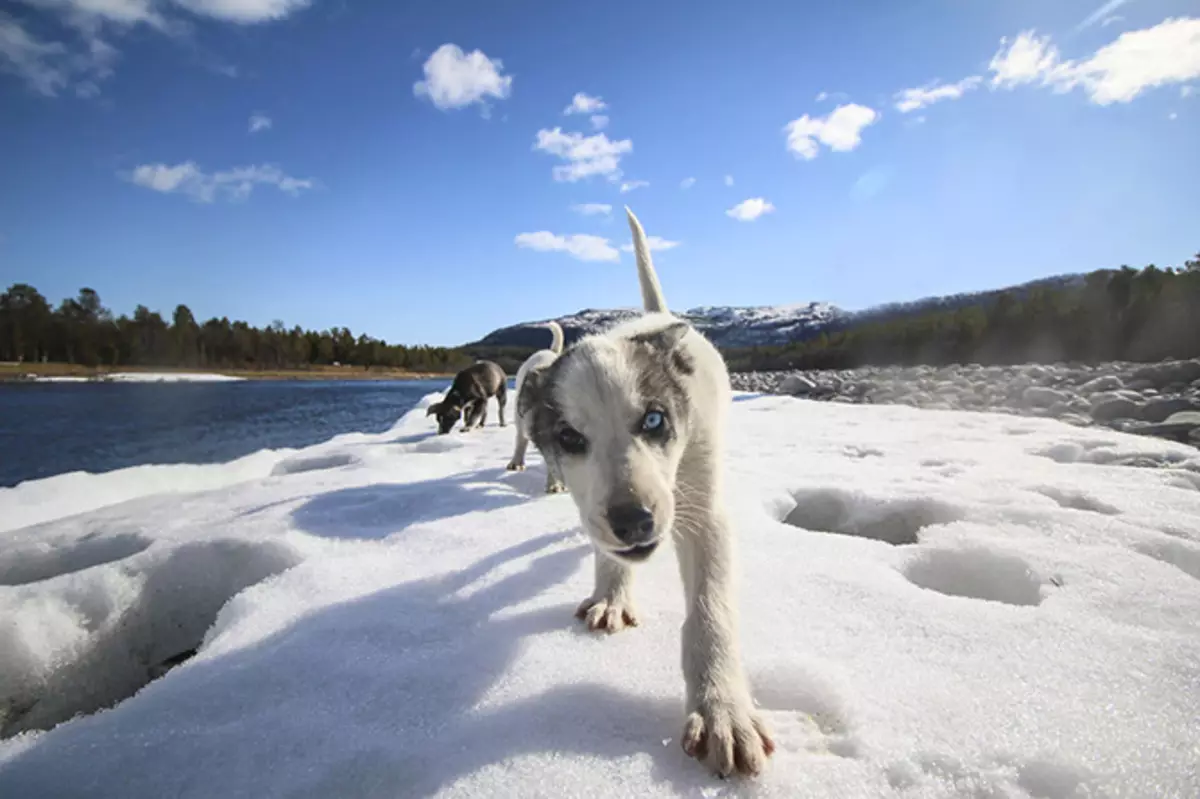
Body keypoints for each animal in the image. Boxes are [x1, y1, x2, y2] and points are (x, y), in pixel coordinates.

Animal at [520, 206, 772, 777]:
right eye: (570, 438)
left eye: (654, 419)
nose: (633, 520)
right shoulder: (592, 504)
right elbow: (604, 550)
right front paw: (612, 596)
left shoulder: (702, 507)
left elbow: (709, 609)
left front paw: (723, 709)